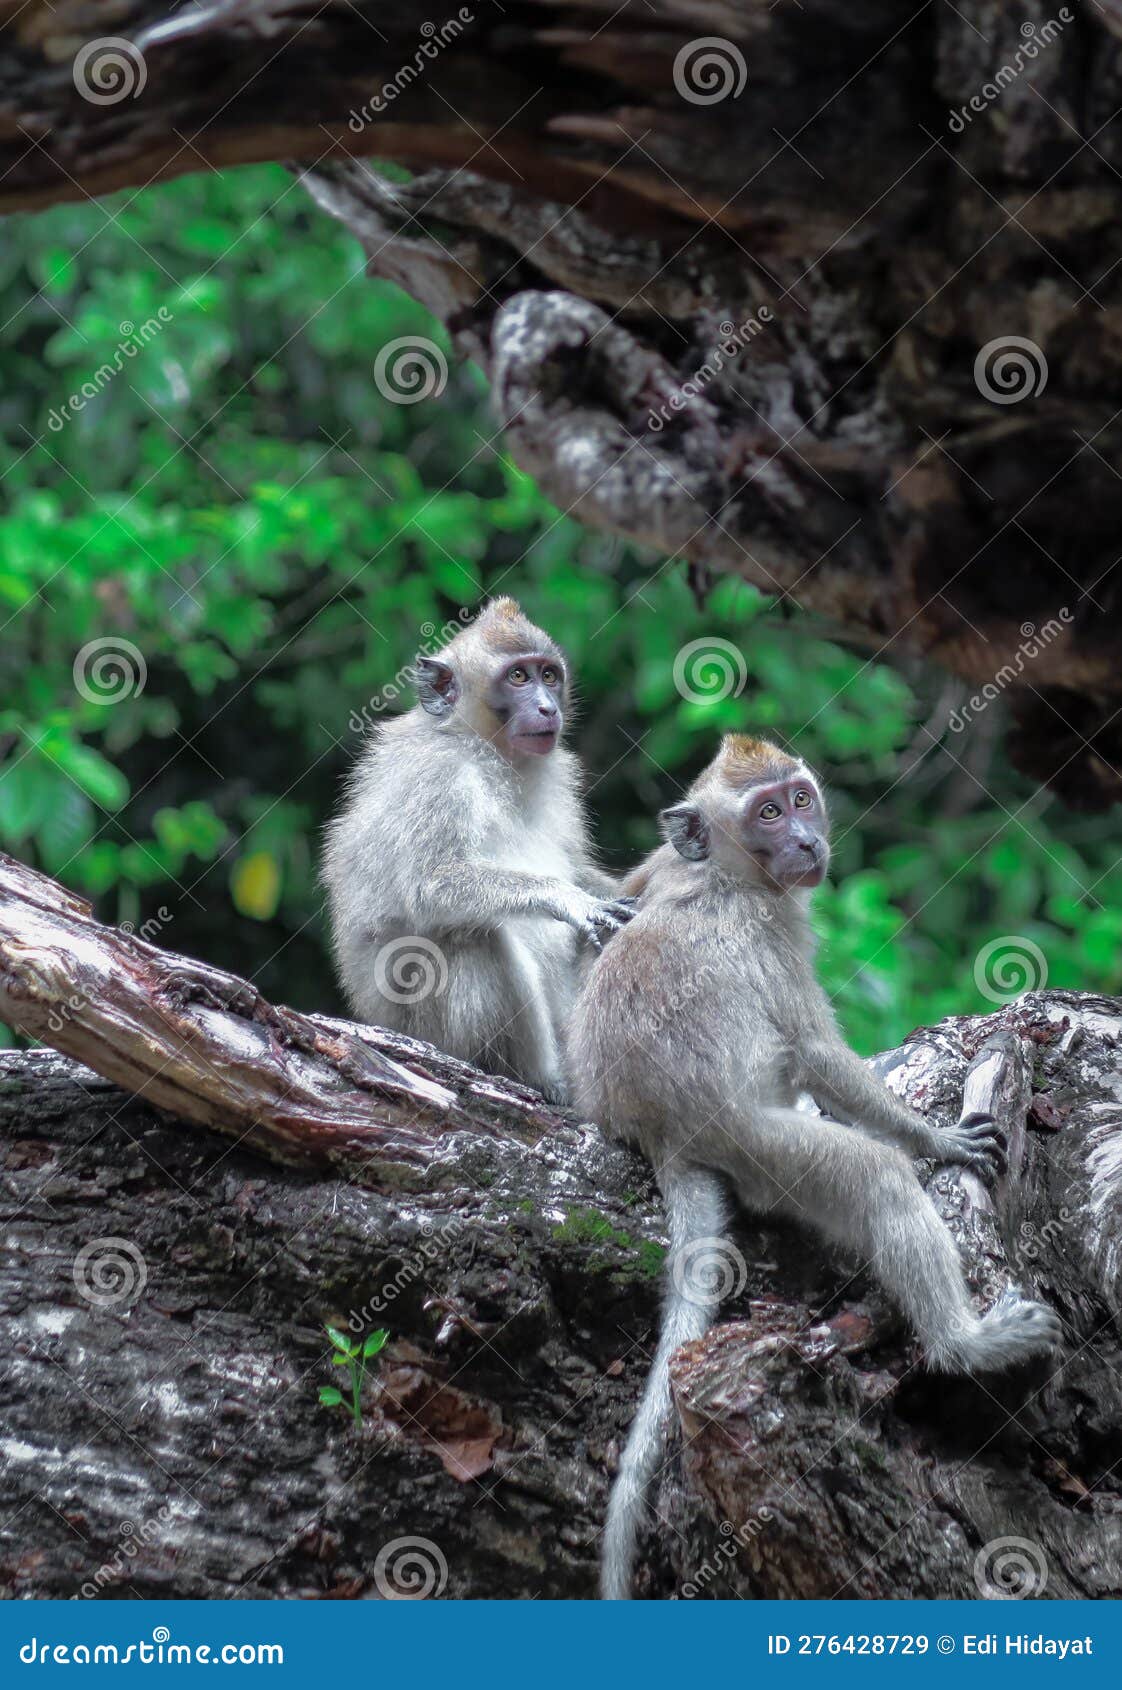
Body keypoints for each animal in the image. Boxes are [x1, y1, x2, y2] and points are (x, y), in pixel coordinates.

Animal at [322, 598, 633, 1103]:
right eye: (518, 677)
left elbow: (583, 870)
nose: (547, 707)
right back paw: (535, 1081)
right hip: (425, 1025)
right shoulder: (437, 778)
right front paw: (564, 897)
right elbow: (430, 886)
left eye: (549, 675)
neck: (489, 751)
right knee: (472, 935)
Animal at [567, 733, 1063, 1600]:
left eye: (798, 799)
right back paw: (963, 1343)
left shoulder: (657, 870)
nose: (803, 840)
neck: (727, 875)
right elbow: (817, 1052)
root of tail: (664, 1132)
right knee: (872, 1180)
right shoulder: (771, 935)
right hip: (762, 1151)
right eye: (766, 813)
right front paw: (936, 1141)